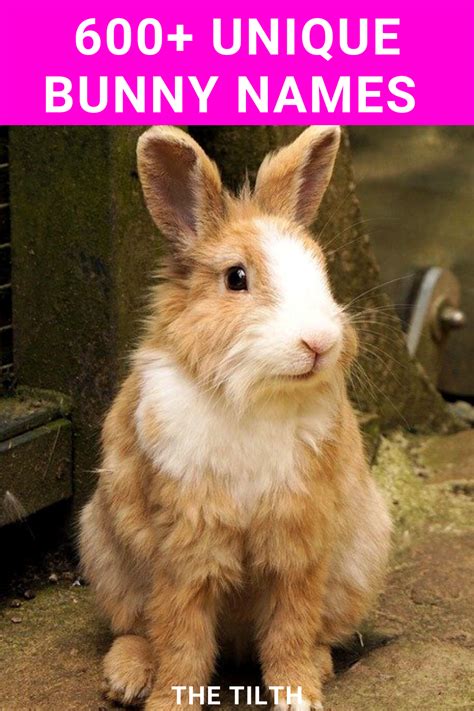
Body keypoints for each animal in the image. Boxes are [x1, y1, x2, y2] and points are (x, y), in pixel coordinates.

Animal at [79, 125, 392, 711]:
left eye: (321, 269)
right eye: (236, 277)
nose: (319, 342)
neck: (255, 395)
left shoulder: (298, 537)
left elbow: (291, 626)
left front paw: (299, 696)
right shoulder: (186, 538)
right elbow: (181, 636)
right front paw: (168, 701)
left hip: (359, 560)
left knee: (318, 632)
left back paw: (318, 666)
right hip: (106, 552)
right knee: (136, 628)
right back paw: (127, 678)